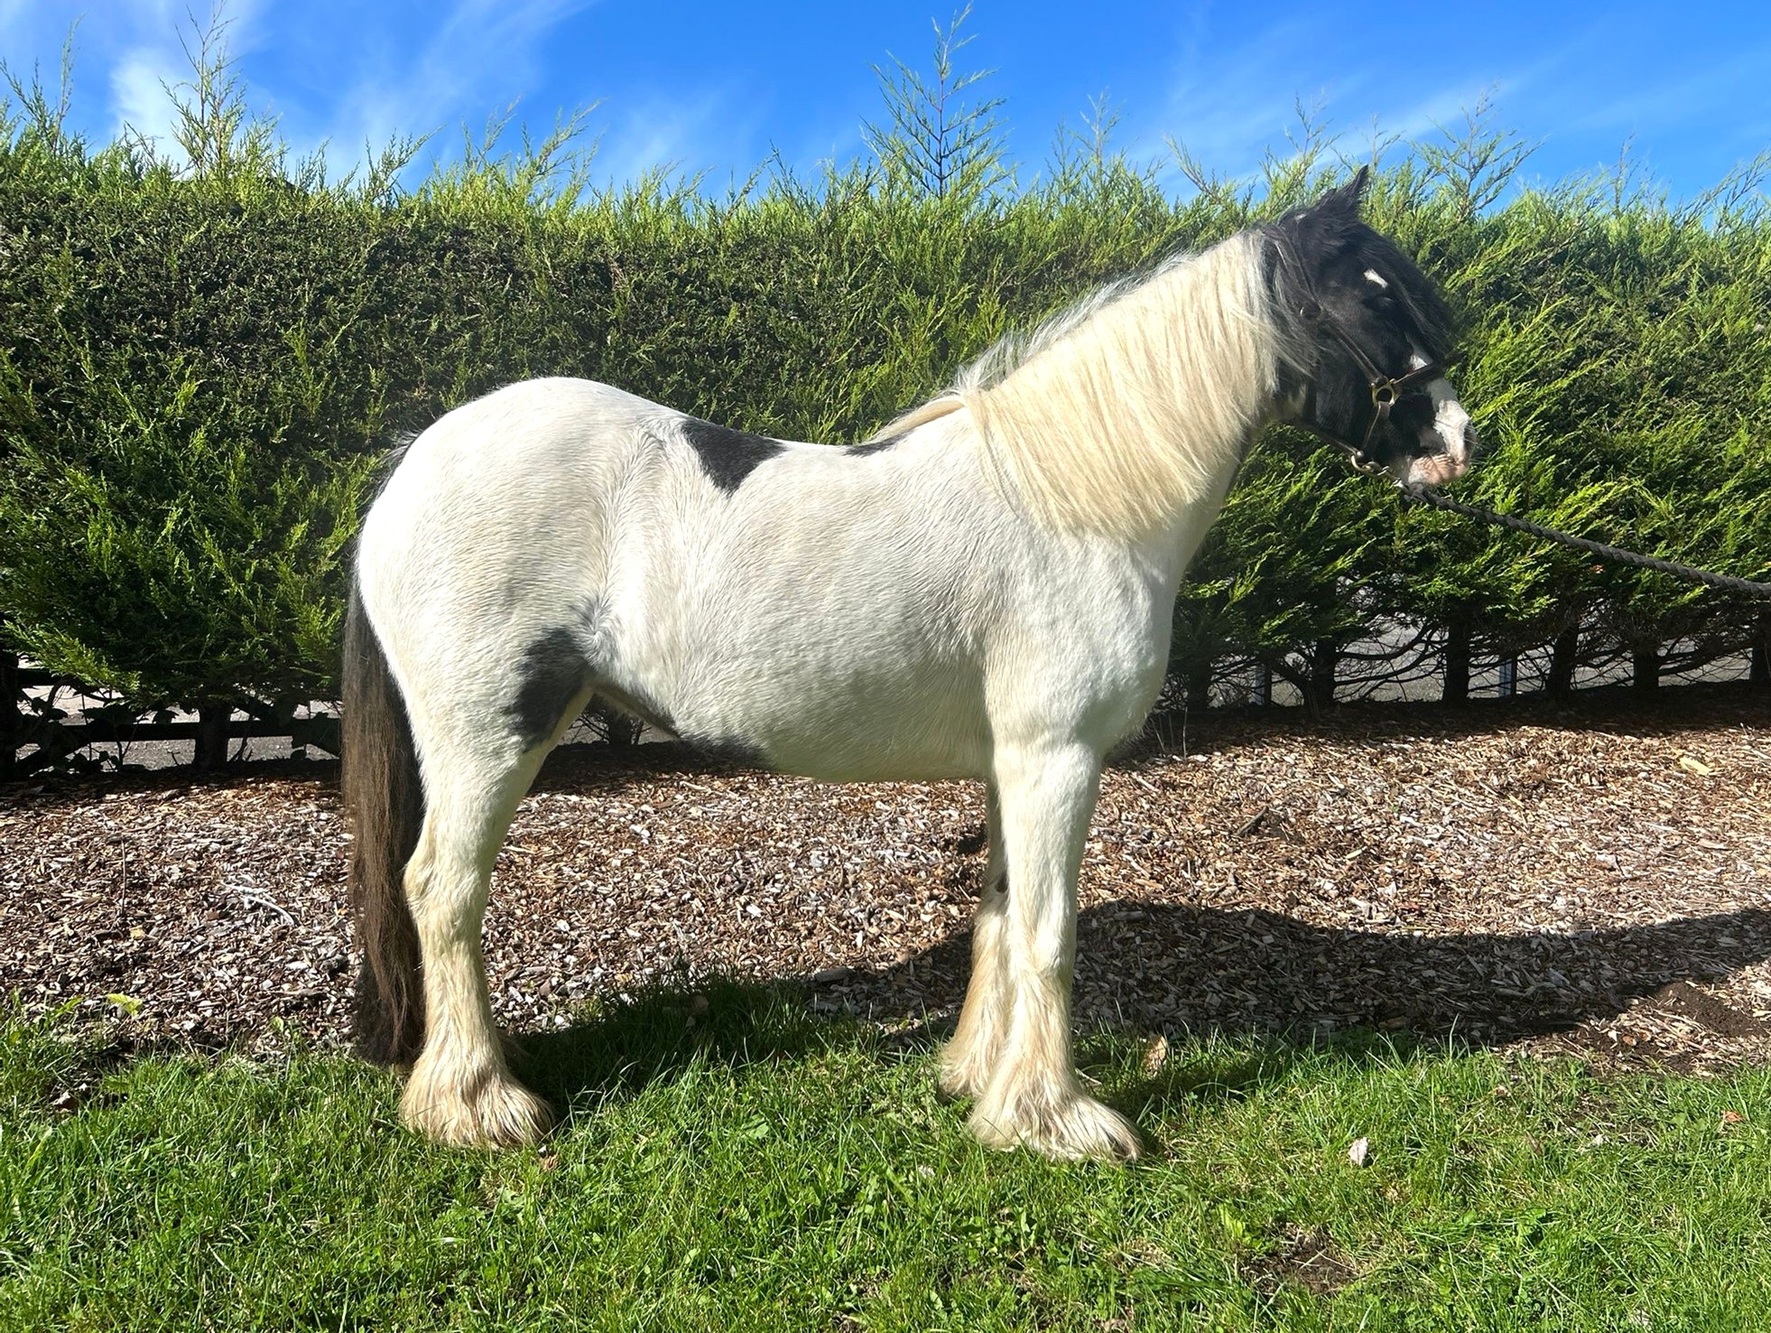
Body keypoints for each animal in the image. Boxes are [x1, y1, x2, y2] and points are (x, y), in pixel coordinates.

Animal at [341, 168, 1476, 1161]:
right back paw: (478, 1104)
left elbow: (1000, 918)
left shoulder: (1014, 762)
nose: (1458, 446)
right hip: (488, 734)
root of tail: (412, 466)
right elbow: (1050, 934)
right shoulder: (1057, 757)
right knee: (441, 889)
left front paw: (980, 1082)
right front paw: (1058, 1122)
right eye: (1367, 303)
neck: (1078, 500)